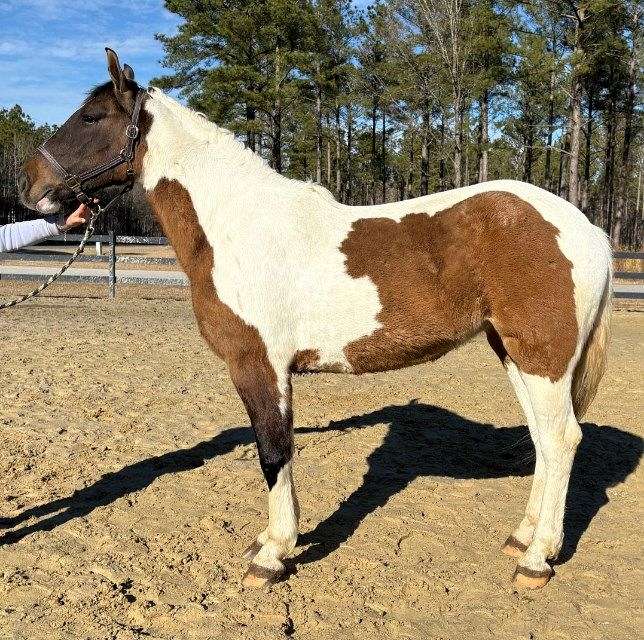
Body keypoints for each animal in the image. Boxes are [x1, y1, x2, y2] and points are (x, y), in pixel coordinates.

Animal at [20, 49, 612, 590]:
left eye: (92, 116)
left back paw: (536, 559)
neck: (238, 227)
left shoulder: (258, 364)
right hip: (516, 354)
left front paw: (273, 554)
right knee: (543, 440)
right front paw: (273, 539)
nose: (31, 185)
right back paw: (522, 537)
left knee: (561, 439)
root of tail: (587, 229)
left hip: (542, 359)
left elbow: (273, 449)